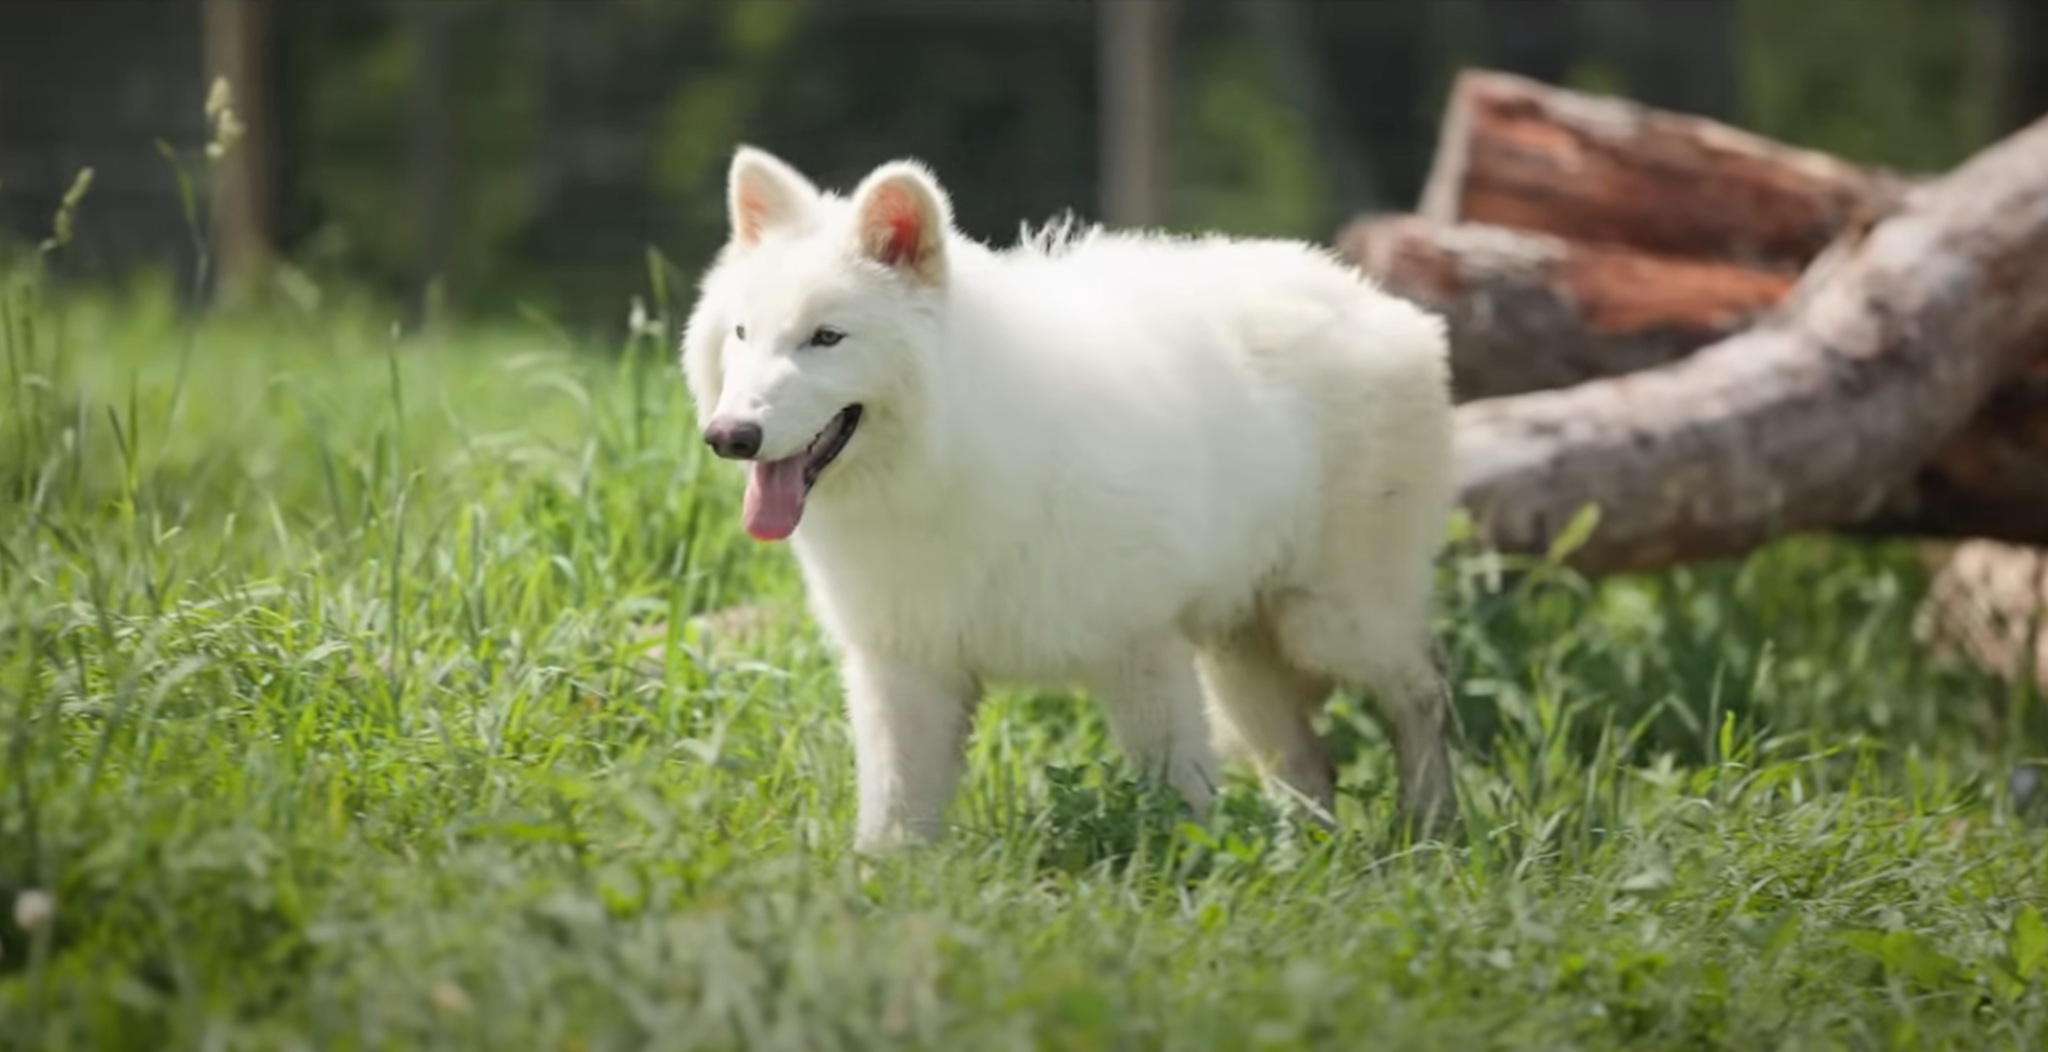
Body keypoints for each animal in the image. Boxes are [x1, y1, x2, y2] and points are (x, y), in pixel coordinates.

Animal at [680, 147, 1459, 853]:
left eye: (826, 338)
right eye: (744, 333)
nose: (729, 436)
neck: (946, 467)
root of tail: (1385, 304)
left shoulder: (1143, 654)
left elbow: (1177, 800)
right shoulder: (906, 669)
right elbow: (895, 820)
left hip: (1329, 622)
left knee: (1422, 689)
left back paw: (1432, 831)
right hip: (1243, 654)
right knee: (1307, 764)